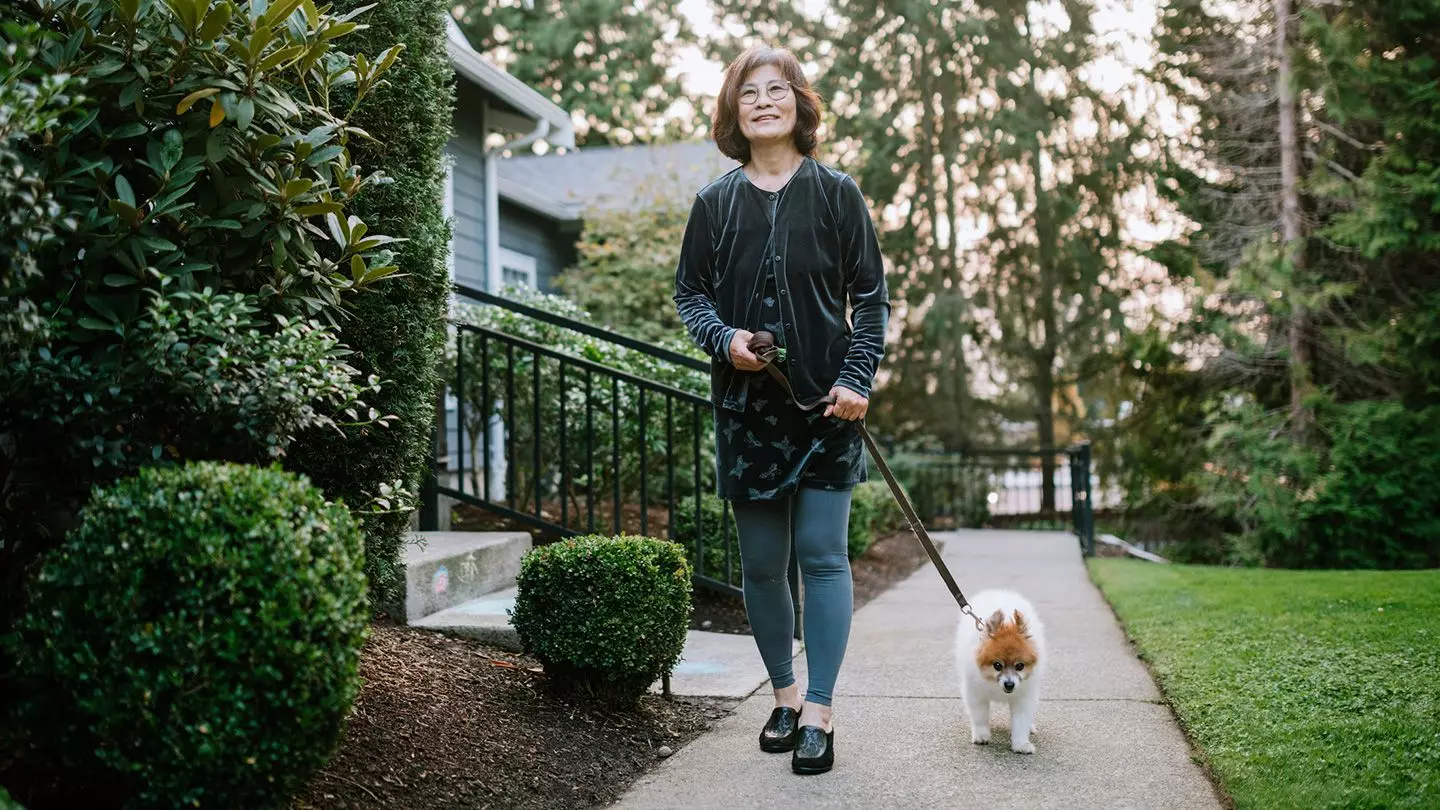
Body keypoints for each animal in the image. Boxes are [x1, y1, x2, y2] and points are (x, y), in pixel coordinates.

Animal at [956, 585, 1048, 749]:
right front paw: (981, 735)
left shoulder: (1023, 697)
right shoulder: (975, 692)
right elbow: (979, 716)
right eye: (997, 665)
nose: (1009, 684)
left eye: (1020, 666)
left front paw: (1021, 744)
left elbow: (1021, 721)